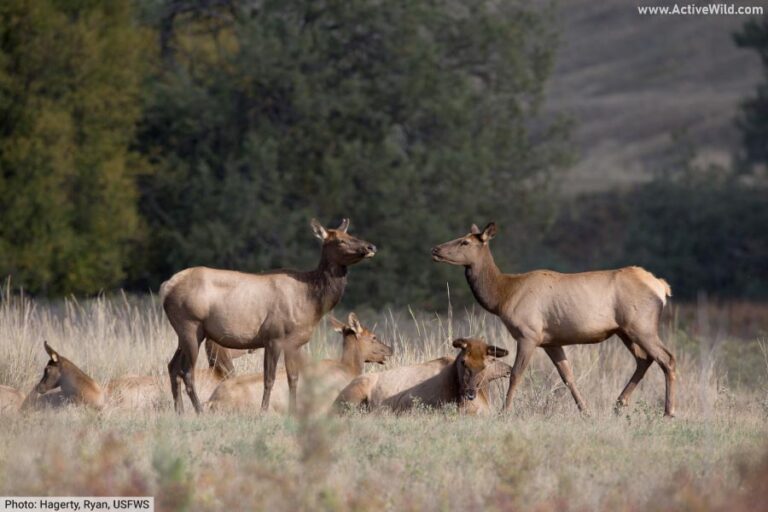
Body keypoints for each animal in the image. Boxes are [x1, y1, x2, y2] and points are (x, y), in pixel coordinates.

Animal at [432, 222, 677, 416]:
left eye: (464, 242)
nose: (435, 249)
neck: (502, 297)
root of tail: (662, 287)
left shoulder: (528, 334)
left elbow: (516, 374)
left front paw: (504, 411)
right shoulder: (551, 341)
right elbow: (568, 376)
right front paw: (585, 411)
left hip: (642, 325)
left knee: (667, 358)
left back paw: (669, 412)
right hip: (624, 330)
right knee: (644, 359)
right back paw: (619, 404)